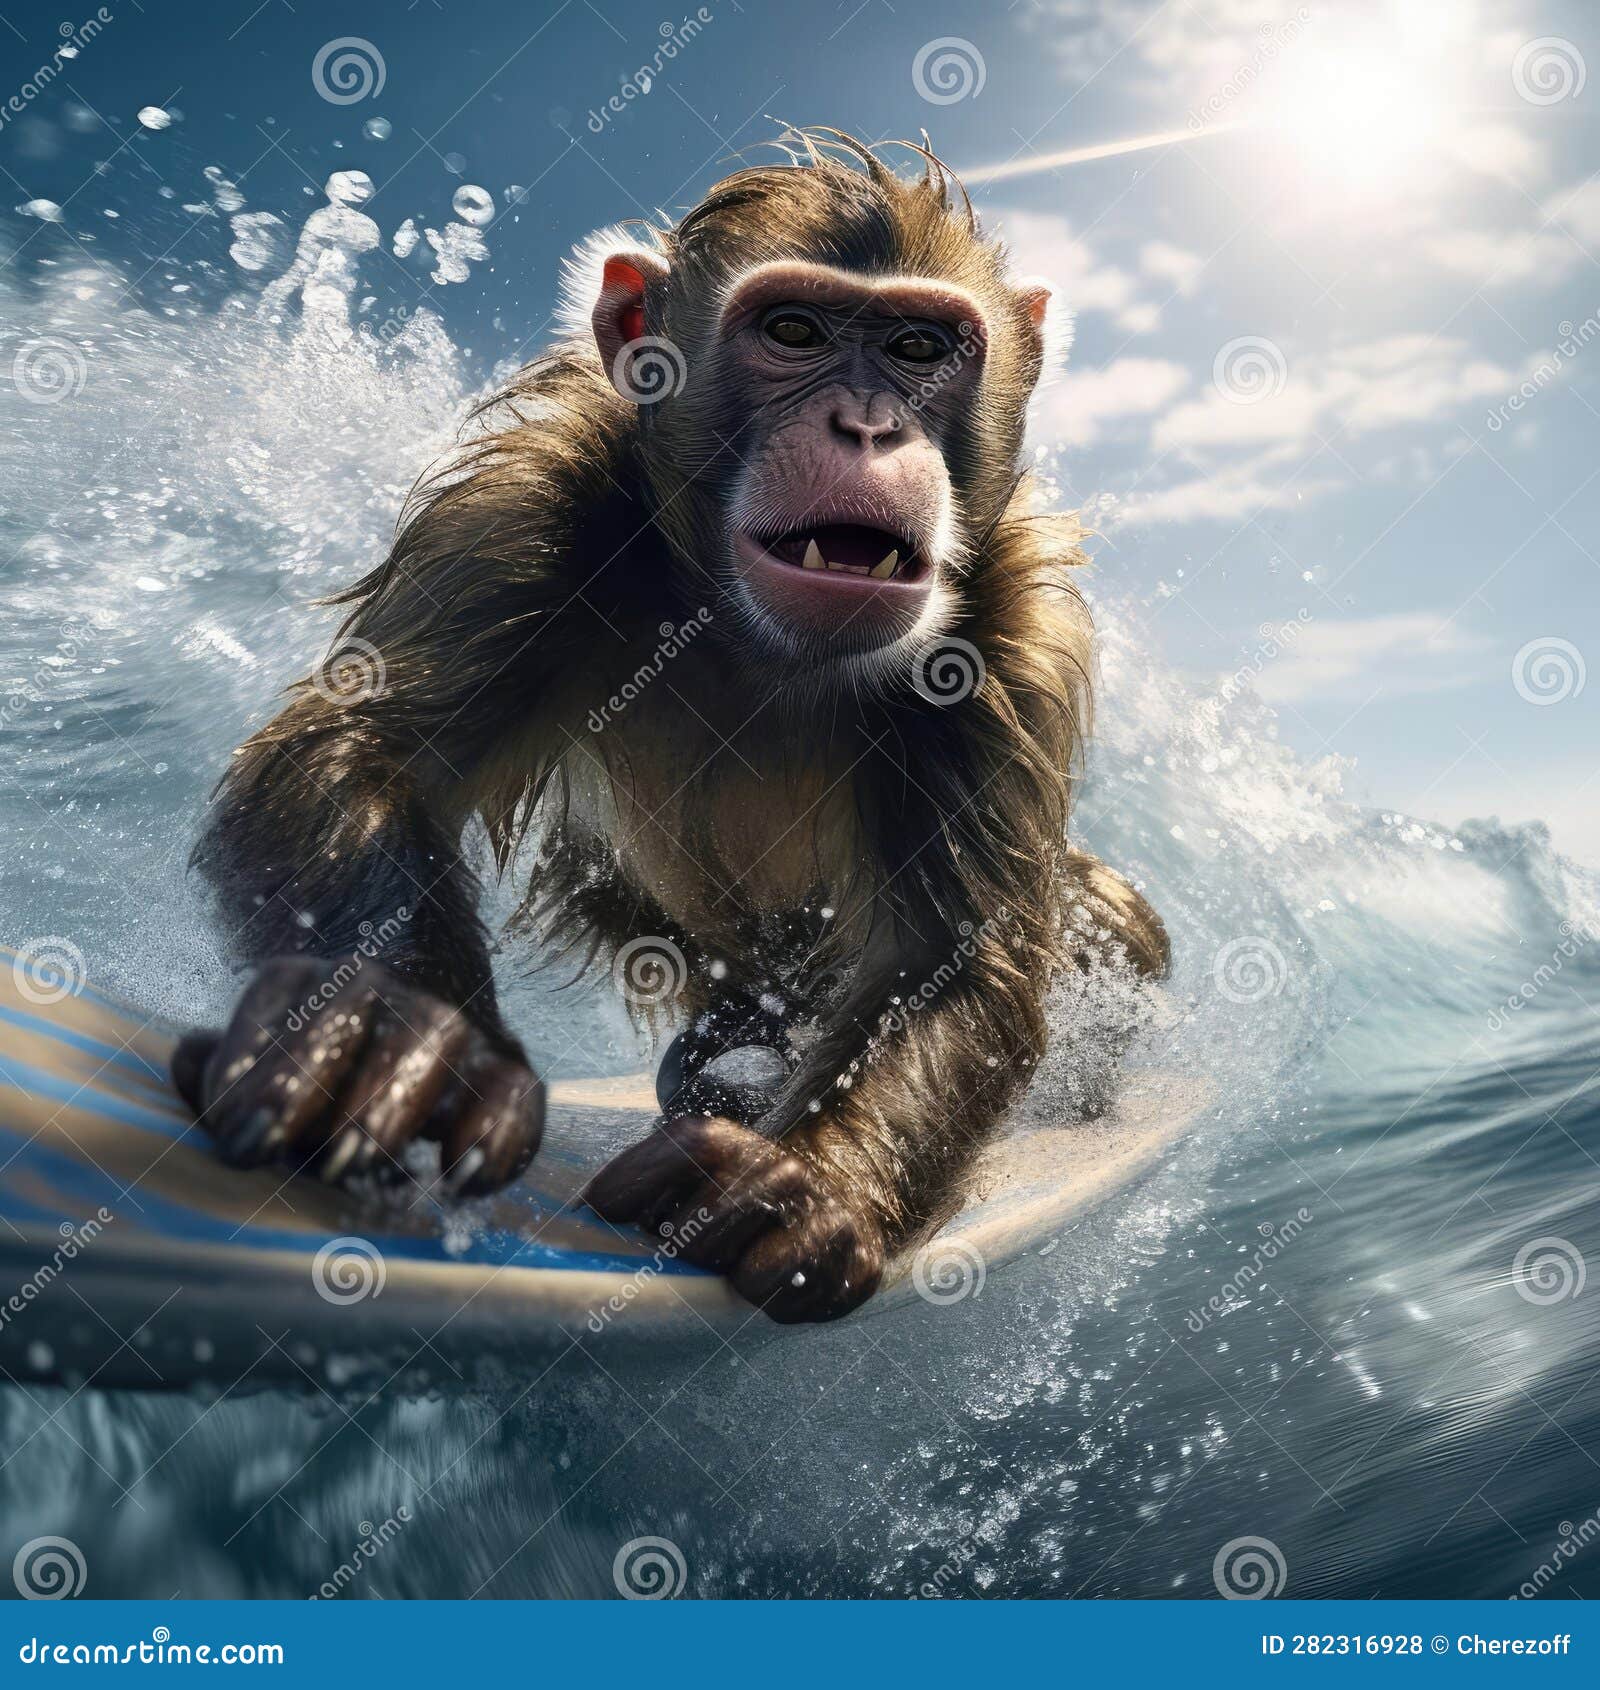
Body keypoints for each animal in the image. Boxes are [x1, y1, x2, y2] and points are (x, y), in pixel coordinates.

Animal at [172, 129, 1169, 1324]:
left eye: (920, 347)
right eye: (794, 333)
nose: (868, 425)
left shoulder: (1013, 619)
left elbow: (954, 949)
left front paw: (809, 1184)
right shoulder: (533, 504)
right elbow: (368, 751)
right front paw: (399, 1034)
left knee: (1106, 925)